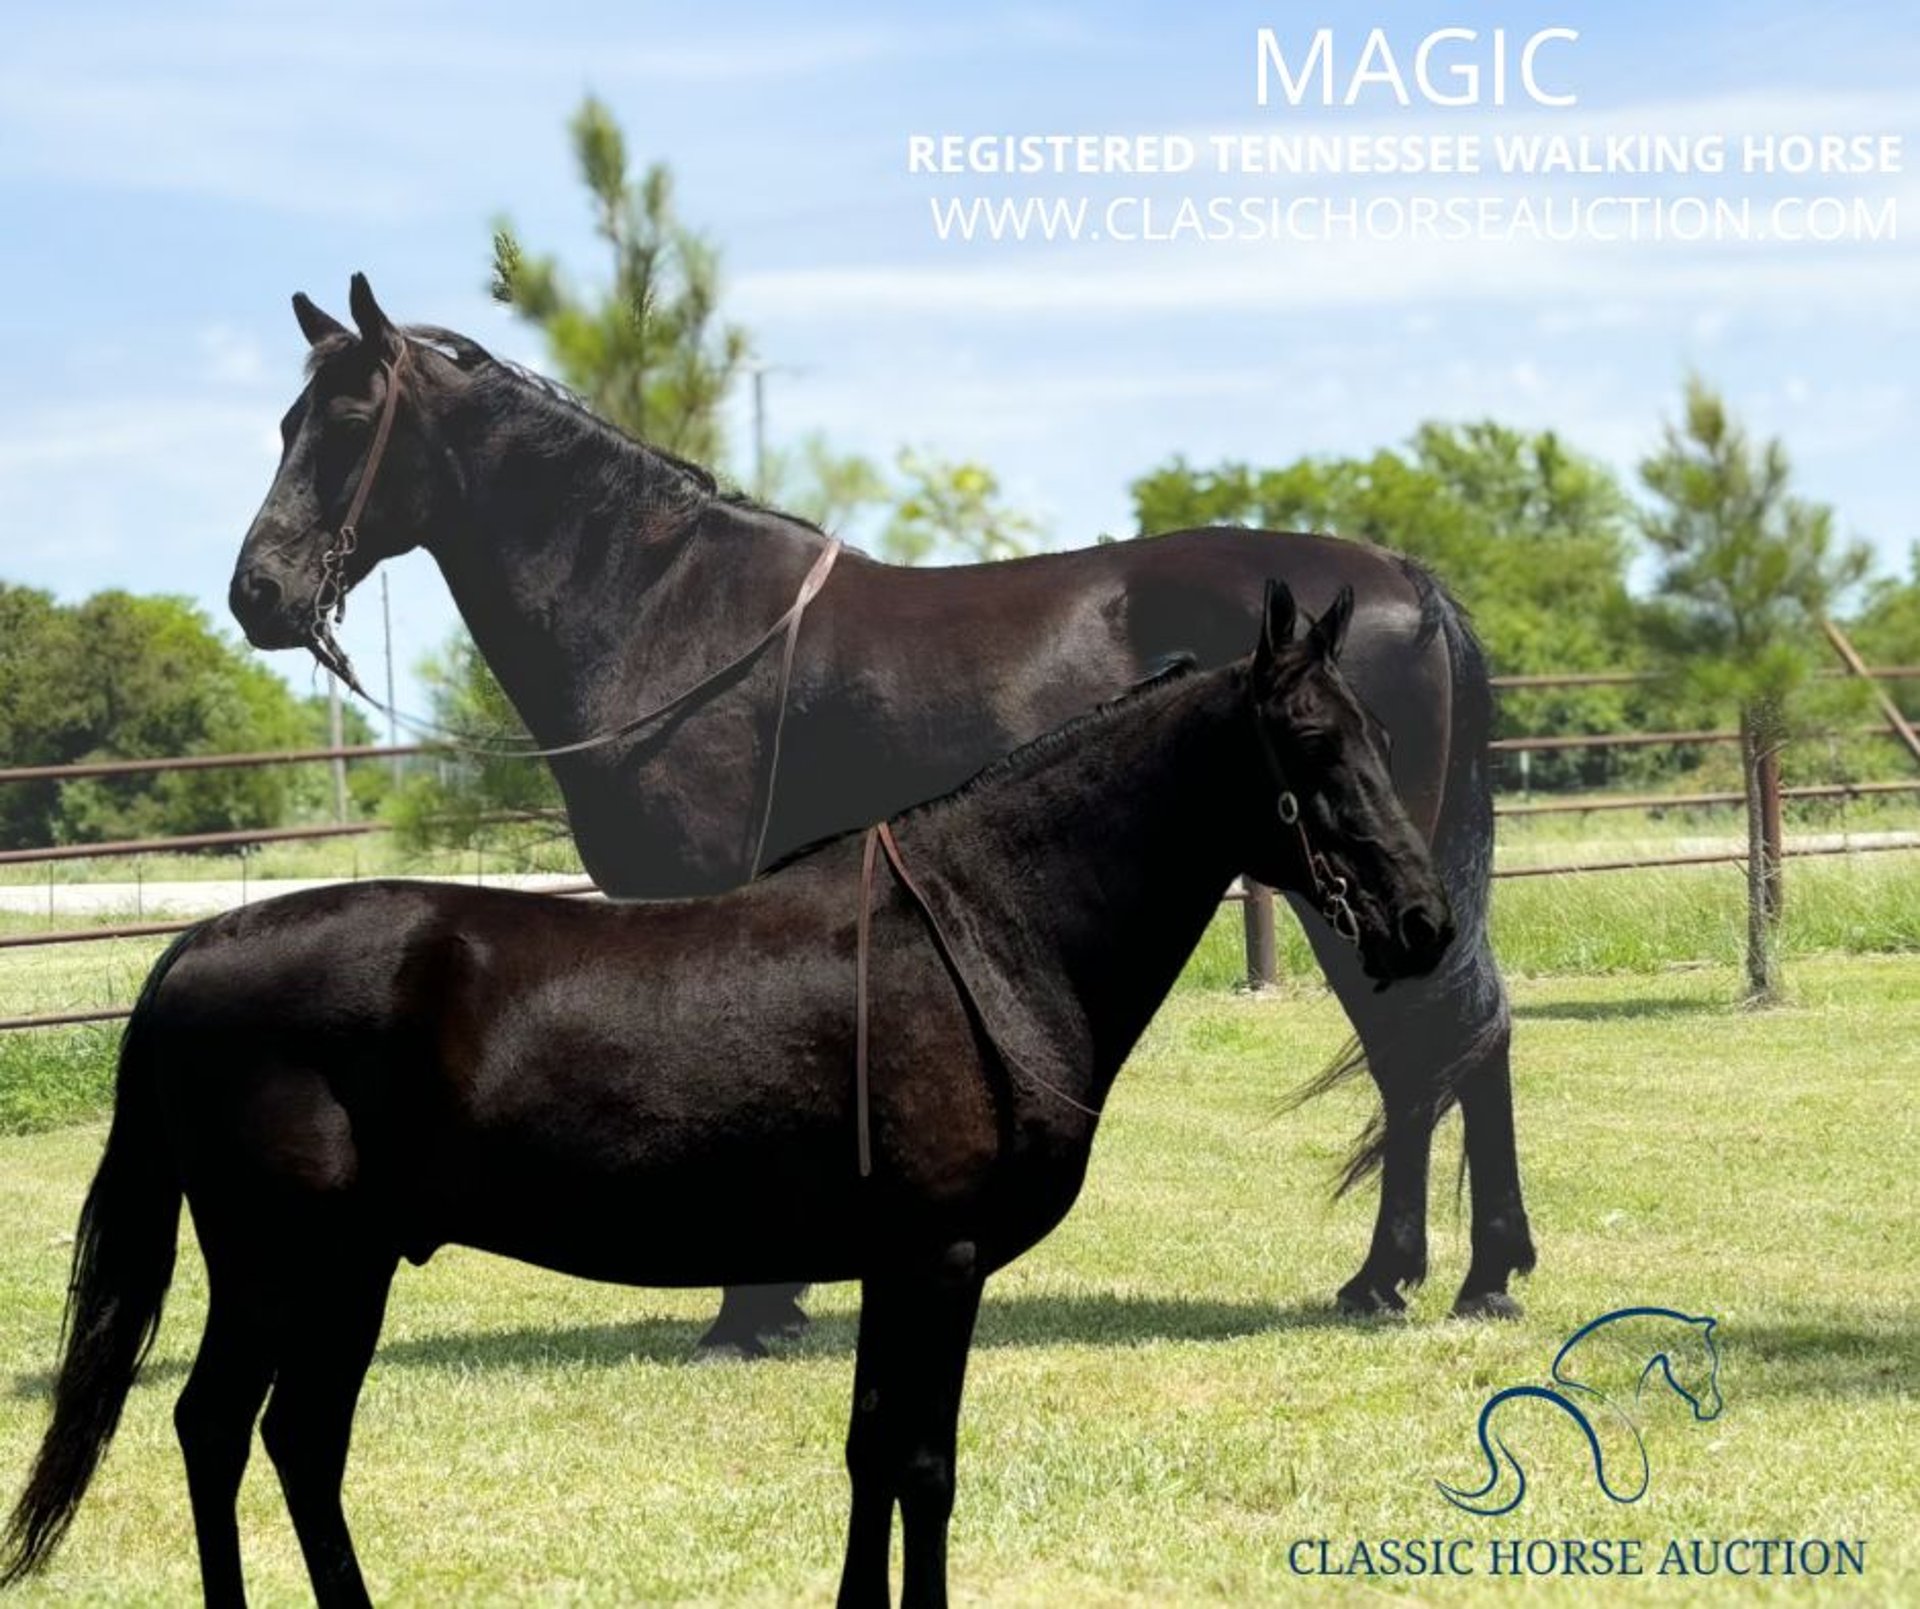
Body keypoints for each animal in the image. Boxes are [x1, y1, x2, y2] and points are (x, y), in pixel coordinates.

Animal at [4, 588, 1451, 1608]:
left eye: (1383, 736)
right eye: (1309, 741)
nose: (1424, 925)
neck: (984, 932)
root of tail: (194, 950)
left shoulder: (895, 1265)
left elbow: (873, 1453)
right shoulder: (940, 1261)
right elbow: (923, 1465)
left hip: (347, 1266)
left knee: (297, 1438)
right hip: (277, 1261)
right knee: (216, 1429)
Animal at [226, 275, 1536, 1349]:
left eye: (348, 423)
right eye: (284, 425)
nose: (258, 593)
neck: (658, 605)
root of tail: (1406, 581)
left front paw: (747, 1311)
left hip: (1355, 886)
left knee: (1423, 1051)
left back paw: (1401, 1278)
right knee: (1463, 1038)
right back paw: (1476, 1277)